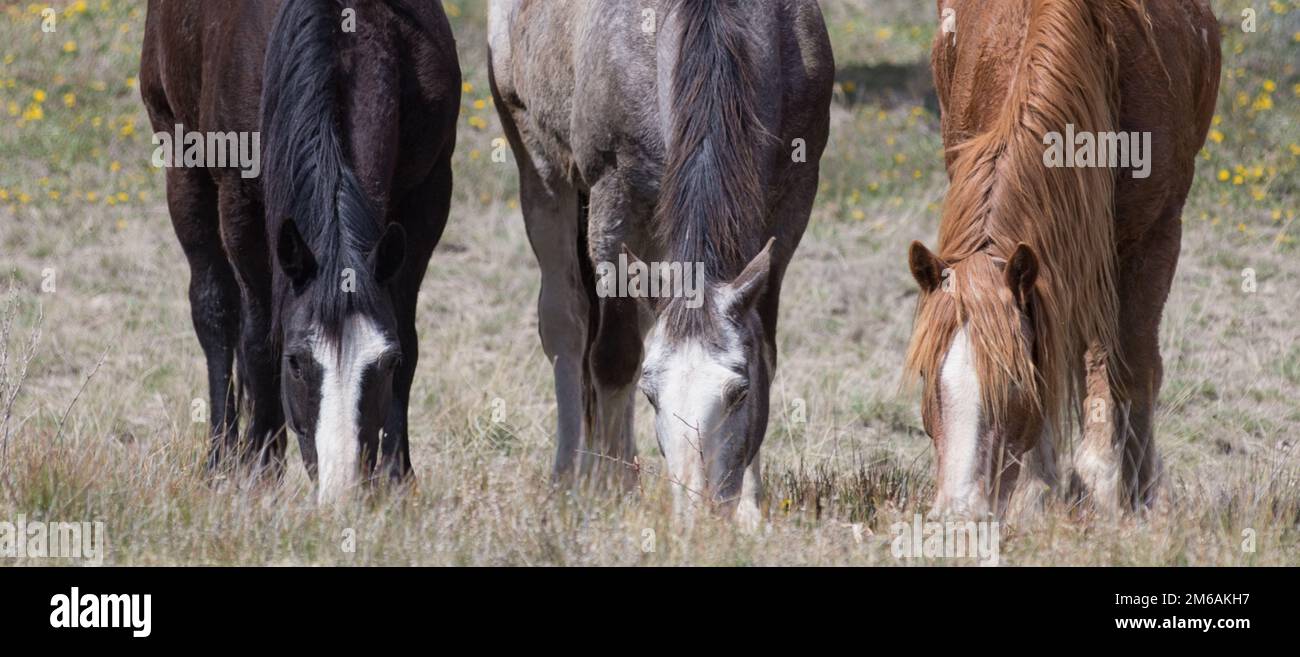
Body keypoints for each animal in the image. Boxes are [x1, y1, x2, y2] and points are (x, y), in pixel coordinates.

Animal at [140, 0, 460, 502]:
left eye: (384, 363)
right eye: (296, 362)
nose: (341, 490)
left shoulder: (429, 193)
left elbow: (408, 337)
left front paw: (397, 477)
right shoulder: (240, 203)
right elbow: (256, 341)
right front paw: (260, 469)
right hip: (179, 155)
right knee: (215, 312)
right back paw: (221, 459)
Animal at [489, 0, 834, 521]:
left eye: (739, 392)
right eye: (652, 396)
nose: (699, 509)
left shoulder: (794, 199)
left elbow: (765, 350)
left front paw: (751, 510)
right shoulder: (615, 201)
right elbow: (614, 357)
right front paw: (613, 491)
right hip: (540, 162)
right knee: (568, 327)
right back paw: (571, 474)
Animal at [905, 0, 1220, 516]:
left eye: (1016, 383)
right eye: (927, 375)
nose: (959, 512)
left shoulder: (1153, 237)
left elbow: (1133, 365)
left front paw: (1124, 489)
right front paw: (1038, 491)